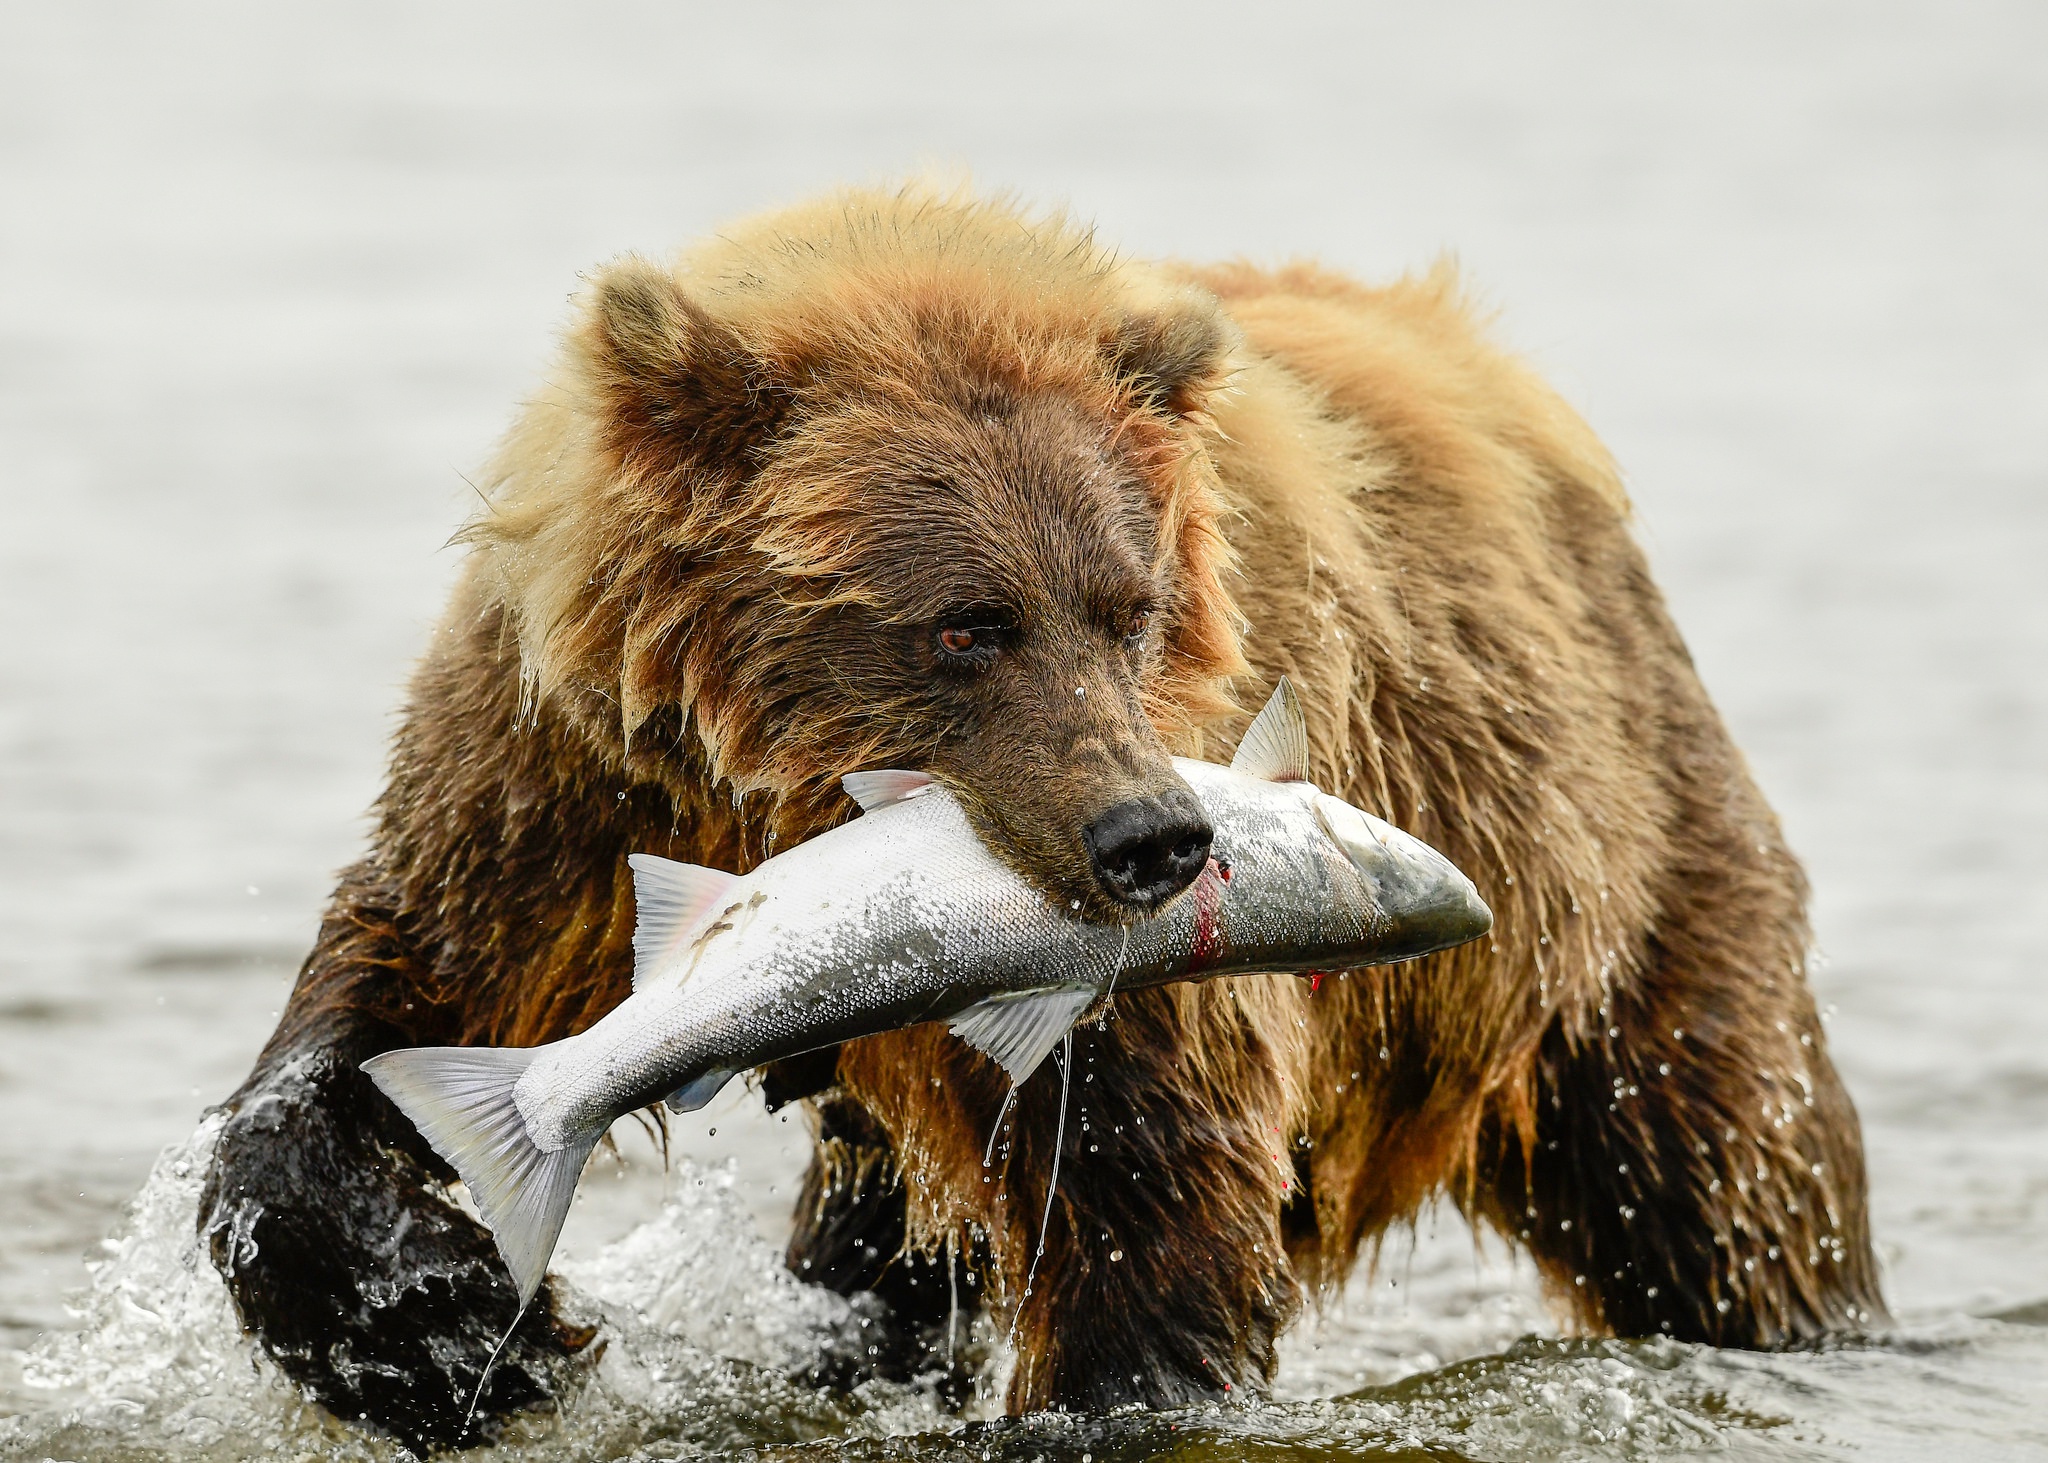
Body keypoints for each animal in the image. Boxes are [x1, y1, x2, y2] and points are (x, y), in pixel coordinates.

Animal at [198, 186, 1885, 1451]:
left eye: (1128, 605)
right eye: (966, 623)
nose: (1155, 837)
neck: (783, 786)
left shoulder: (1128, 949)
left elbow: (1151, 1191)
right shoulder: (563, 769)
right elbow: (411, 974)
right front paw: (448, 1317)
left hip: (1617, 874)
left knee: (1725, 1171)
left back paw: (1806, 1319)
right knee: (885, 1254)